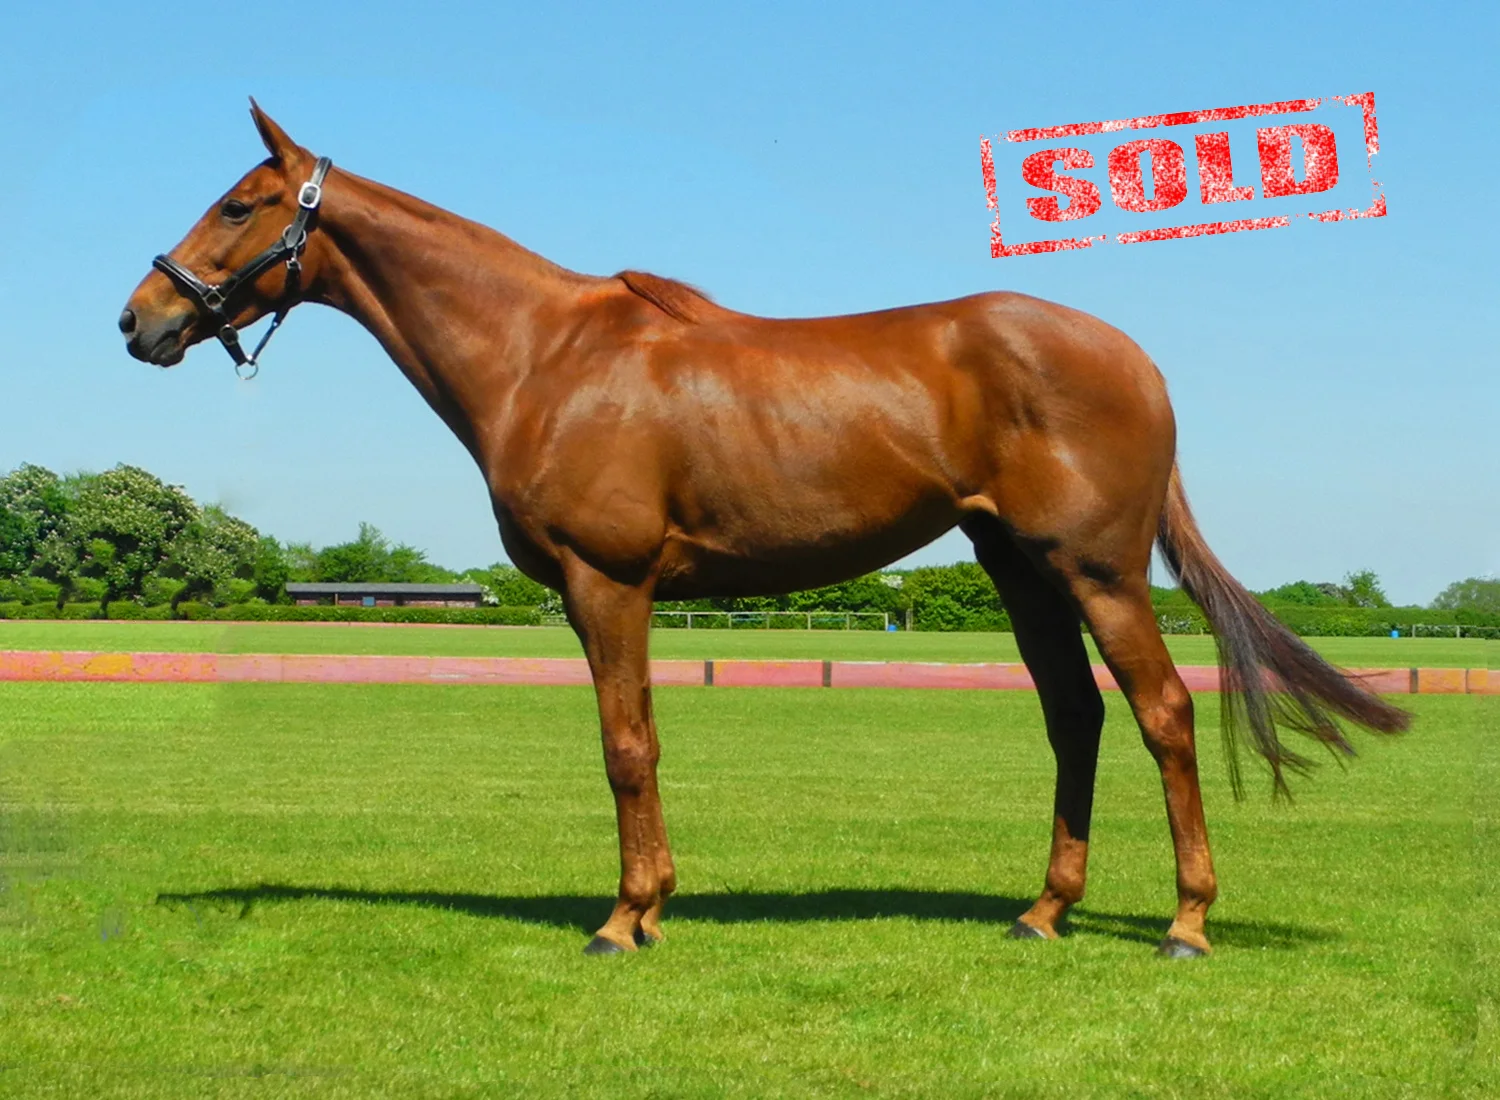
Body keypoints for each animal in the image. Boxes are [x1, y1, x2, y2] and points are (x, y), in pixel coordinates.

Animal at [121, 102, 1409, 958]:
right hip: (1020, 569)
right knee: (1075, 718)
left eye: (240, 203)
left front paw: (626, 917)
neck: (545, 355)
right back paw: (1042, 911)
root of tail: (1135, 360)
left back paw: (1187, 921)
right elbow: (636, 743)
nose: (140, 317)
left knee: (1164, 714)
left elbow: (626, 747)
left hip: (1095, 570)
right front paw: (649, 903)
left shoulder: (608, 581)